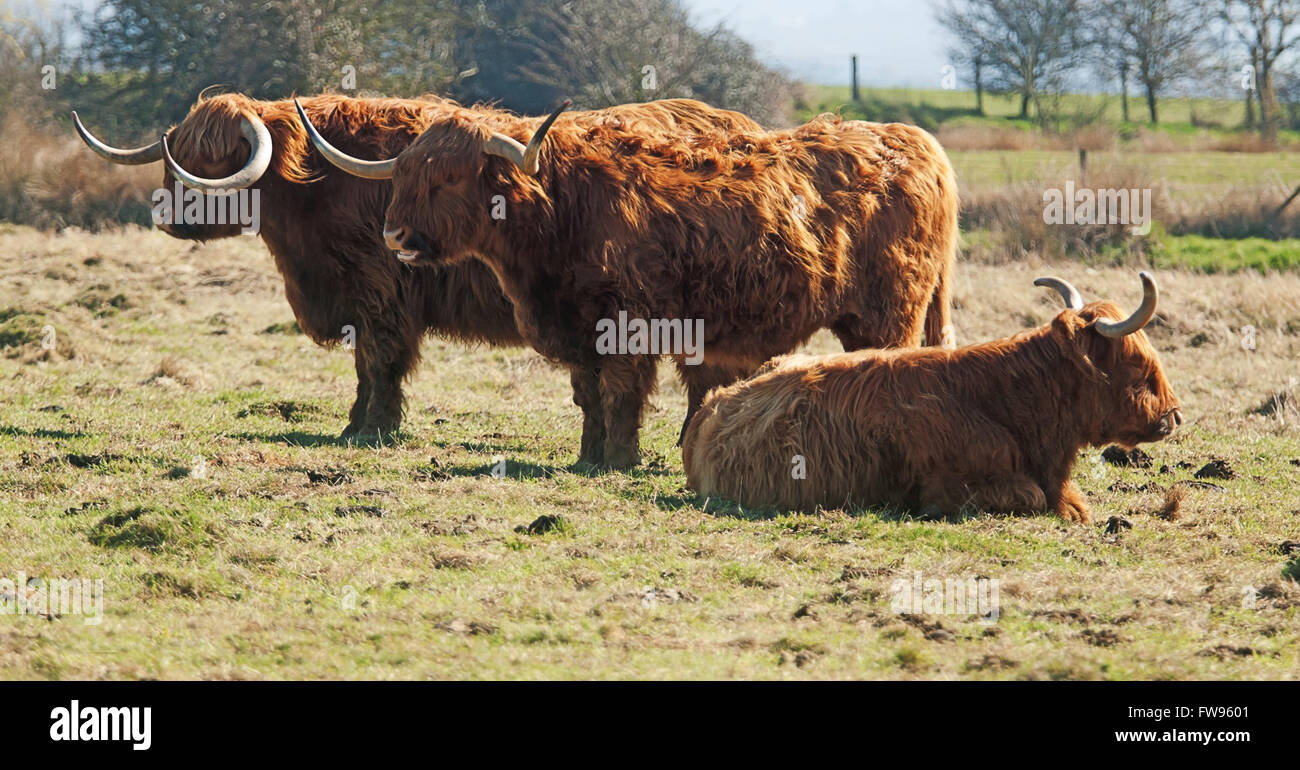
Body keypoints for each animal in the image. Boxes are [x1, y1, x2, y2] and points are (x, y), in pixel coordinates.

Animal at [72, 93, 761, 442]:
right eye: (177, 155)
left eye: (212, 159)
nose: (168, 215)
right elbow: (361, 367)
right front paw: (355, 424)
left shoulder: (381, 295)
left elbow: (380, 363)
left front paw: (374, 430)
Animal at [299, 102, 959, 469]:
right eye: (404, 175)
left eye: (451, 179)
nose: (395, 235)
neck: (562, 213)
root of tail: (918, 141)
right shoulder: (576, 327)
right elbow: (588, 396)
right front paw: (588, 458)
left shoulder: (628, 323)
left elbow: (620, 395)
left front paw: (618, 459)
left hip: (890, 311)